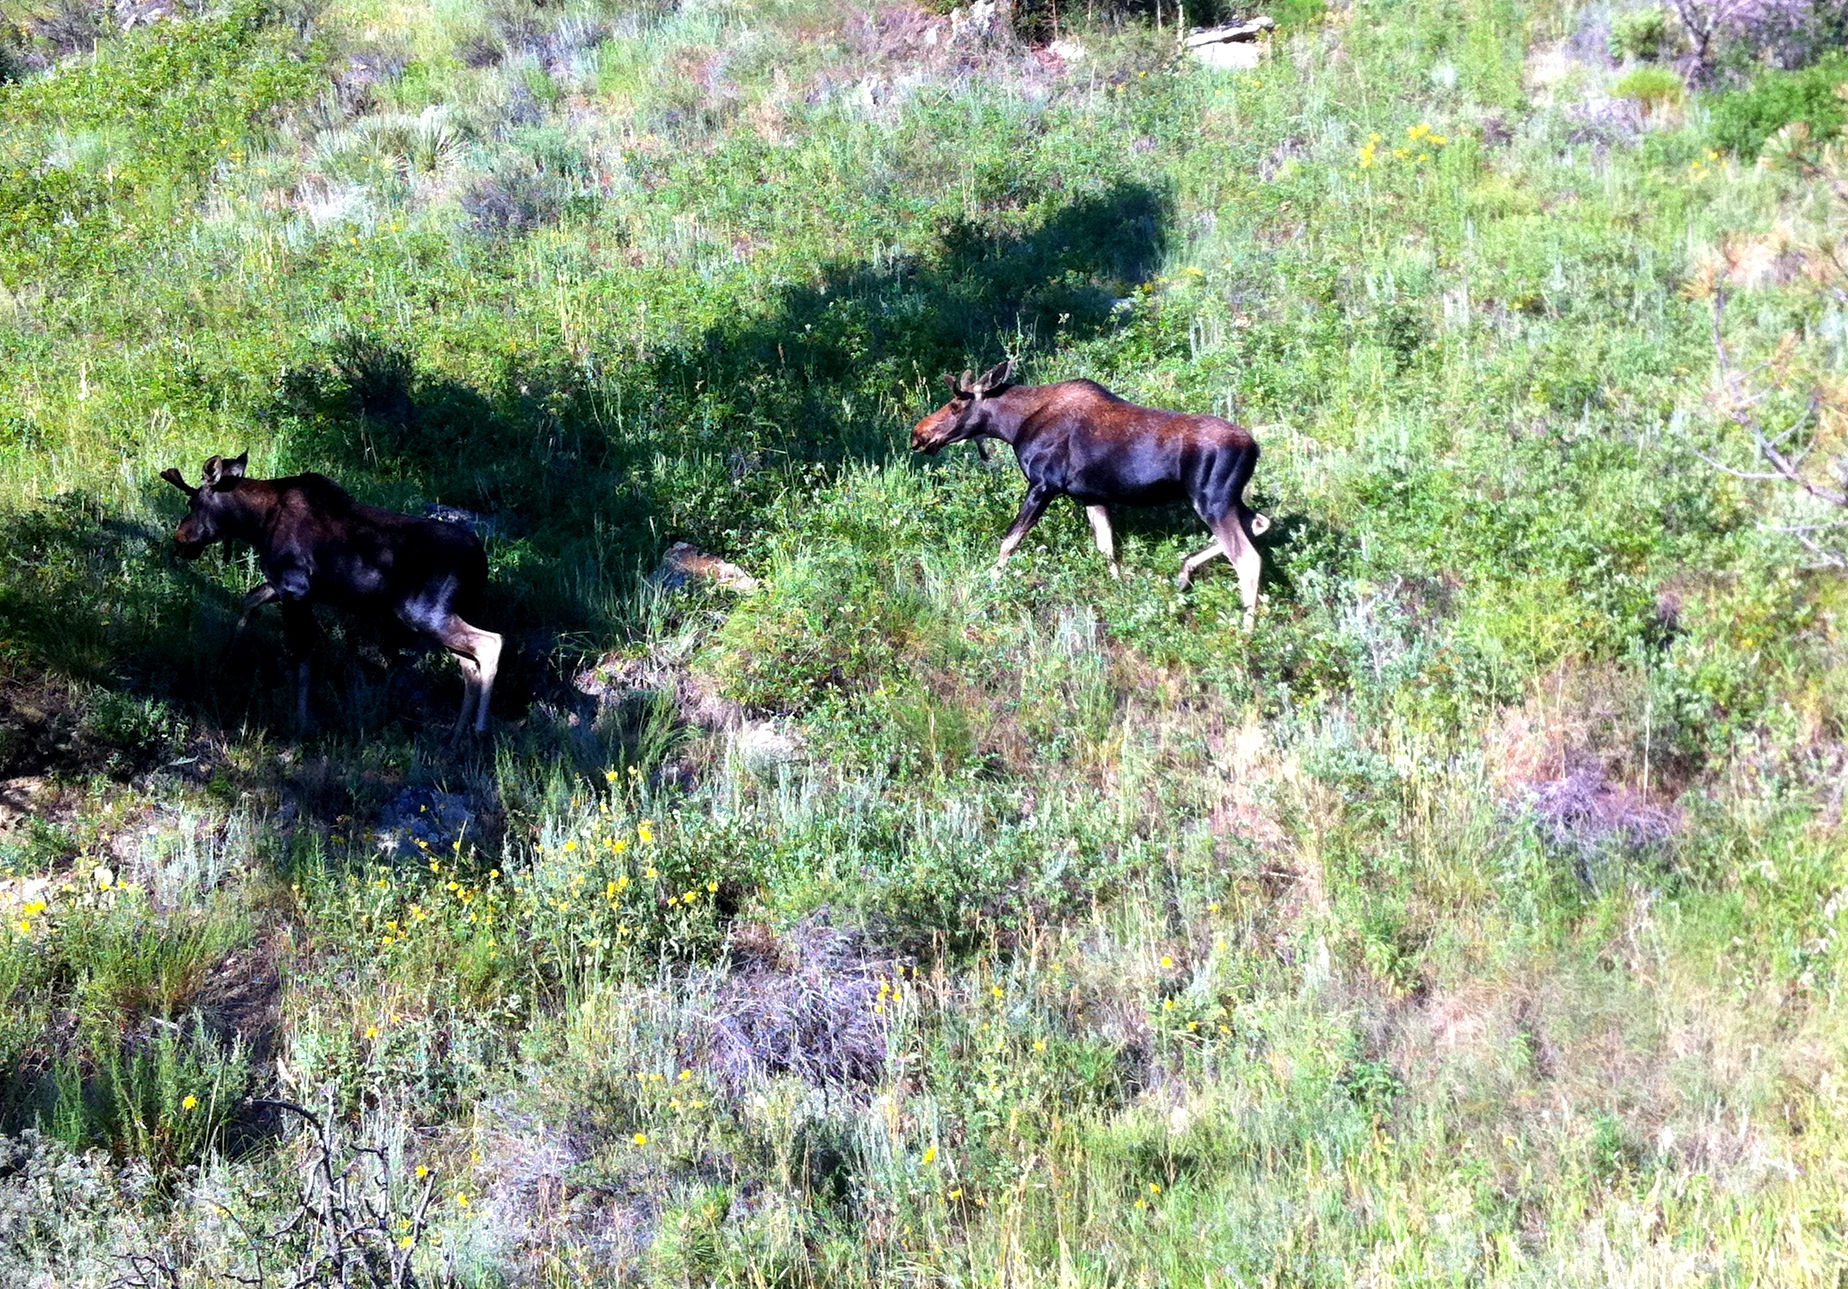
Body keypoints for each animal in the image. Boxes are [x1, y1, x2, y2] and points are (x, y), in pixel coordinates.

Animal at [160, 452, 502, 740]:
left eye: (192, 503)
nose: (180, 539)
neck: (255, 524)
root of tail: (481, 563)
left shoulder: (295, 587)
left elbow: (302, 653)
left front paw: (301, 722)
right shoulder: (283, 586)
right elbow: (249, 600)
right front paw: (227, 658)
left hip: (424, 612)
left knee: (490, 643)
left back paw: (480, 729)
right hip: (438, 618)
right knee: (469, 665)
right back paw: (455, 734)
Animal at [911, 360, 1271, 627]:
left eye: (956, 404)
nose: (918, 434)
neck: (1013, 426)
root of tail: (1254, 447)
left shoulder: (1044, 485)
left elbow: (1009, 541)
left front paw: (990, 584)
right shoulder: (1091, 496)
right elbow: (1107, 550)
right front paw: (1118, 594)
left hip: (1211, 500)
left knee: (1247, 557)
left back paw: (1246, 631)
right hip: (1226, 499)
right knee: (1260, 523)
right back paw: (1185, 572)